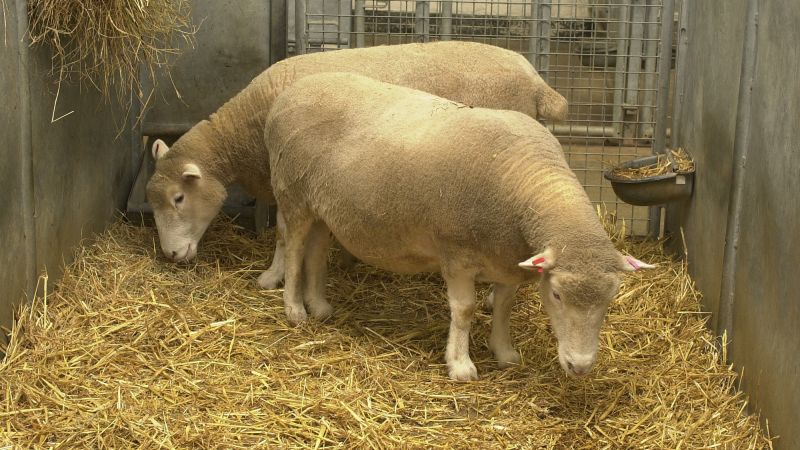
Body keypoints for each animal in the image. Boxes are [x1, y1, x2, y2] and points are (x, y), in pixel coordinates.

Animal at [145, 41, 568, 287]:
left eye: (179, 198)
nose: (170, 256)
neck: (244, 131)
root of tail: (536, 81)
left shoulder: (288, 177)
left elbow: (283, 232)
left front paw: (273, 275)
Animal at [265, 72, 653, 381]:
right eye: (556, 295)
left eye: (611, 298)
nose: (580, 367)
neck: (527, 183)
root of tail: (291, 91)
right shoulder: (456, 253)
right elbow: (464, 309)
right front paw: (460, 364)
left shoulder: (507, 259)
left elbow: (504, 305)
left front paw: (504, 352)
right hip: (292, 192)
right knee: (295, 247)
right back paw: (295, 311)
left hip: (323, 206)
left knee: (316, 249)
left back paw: (319, 305)